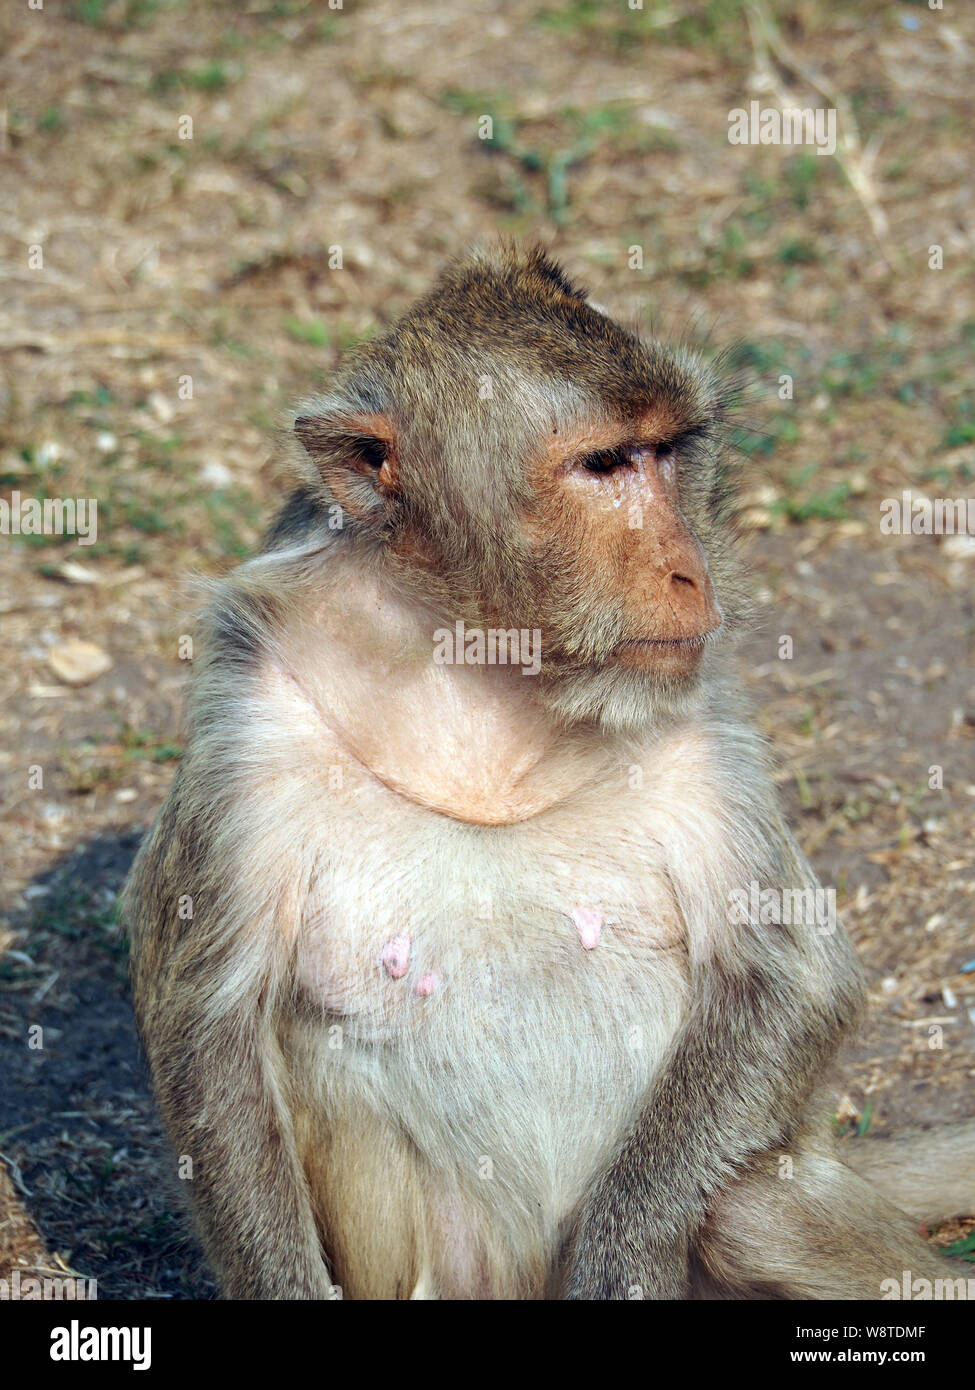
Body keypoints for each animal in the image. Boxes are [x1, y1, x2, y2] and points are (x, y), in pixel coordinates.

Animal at [123, 245, 974, 1300]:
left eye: (669, 453)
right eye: (604, 466)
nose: (690, 569)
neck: (482, 670)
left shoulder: (698, 713)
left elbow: (786, 980)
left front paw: (620, 1261)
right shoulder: (248, 702)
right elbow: (211, 1027)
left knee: (747, 1205)